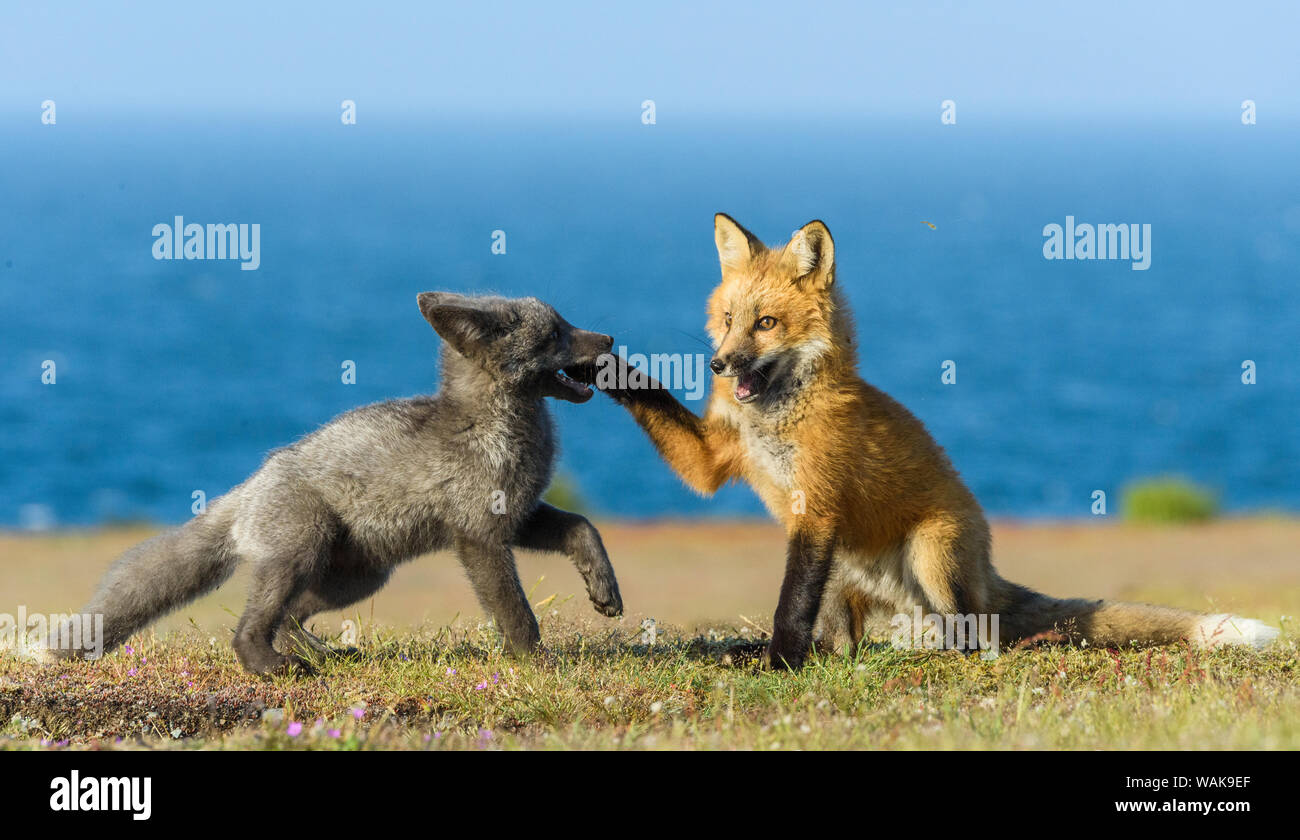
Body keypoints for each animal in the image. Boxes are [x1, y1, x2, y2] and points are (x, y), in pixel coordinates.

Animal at [31, 292, 623, 674]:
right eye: (555, 333)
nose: (611, 336)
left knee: (289, 619)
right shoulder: (480, 537)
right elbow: (516, 615)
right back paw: (271, 667)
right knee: (249, 629)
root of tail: (249, 485)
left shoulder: (519, 514)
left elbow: (583, 528)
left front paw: (604, 589)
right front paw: (540, 665)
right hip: (302, 551)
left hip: (356, 578)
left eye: (566, 321)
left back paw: (317, 654)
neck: (494, 426)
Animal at [600, 213, 1279, 669]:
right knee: (846, 646)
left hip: (932, 552)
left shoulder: (815, 509)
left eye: (765, 324)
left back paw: (925, 651)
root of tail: (986, 568)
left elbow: (787, 608)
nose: (718, 364)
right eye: (726, 321)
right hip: (843, 577)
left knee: (976, 638)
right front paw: (600, 366)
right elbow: (653, 398)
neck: (778, 415)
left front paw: (780, 664)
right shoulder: (717, 461)